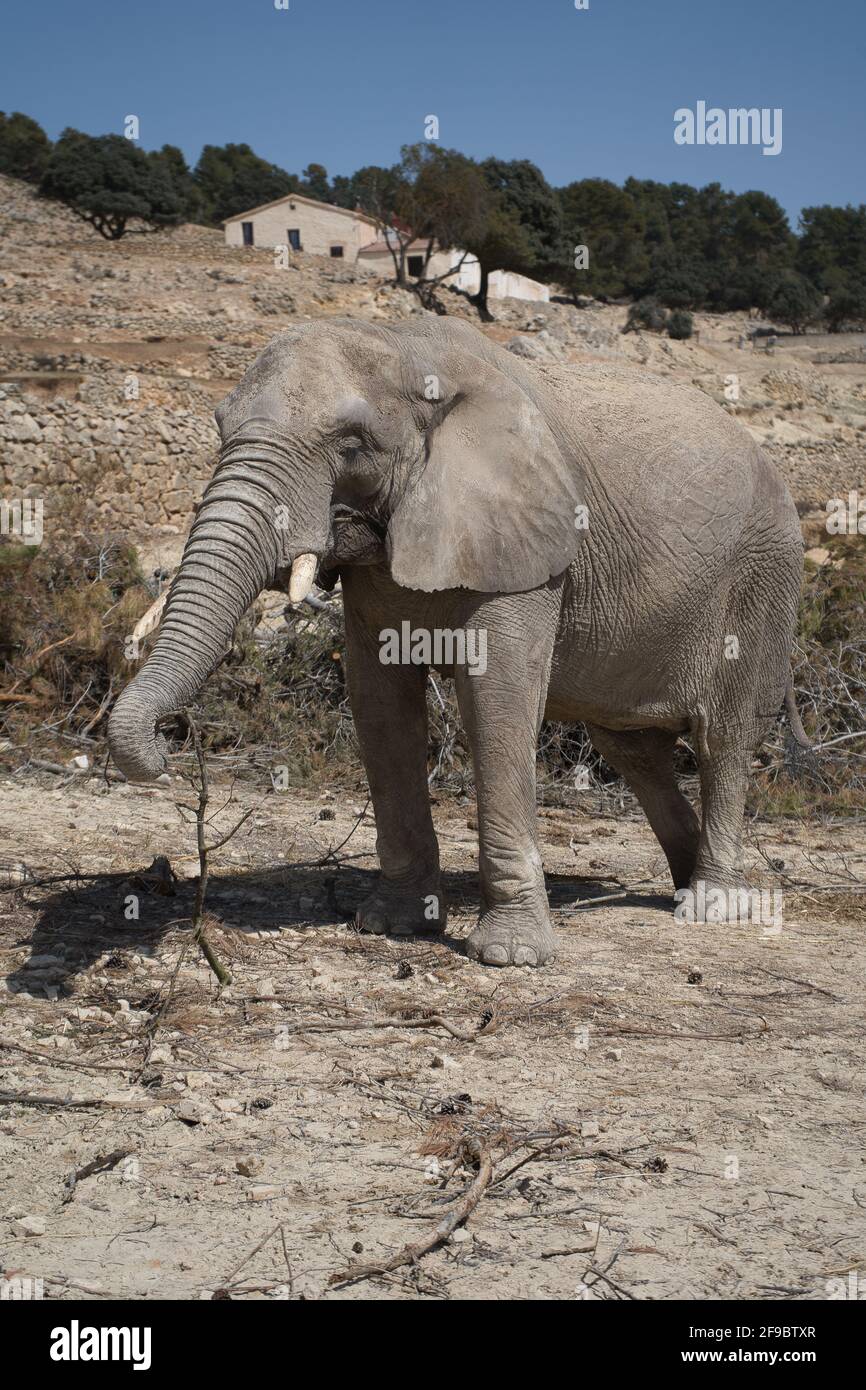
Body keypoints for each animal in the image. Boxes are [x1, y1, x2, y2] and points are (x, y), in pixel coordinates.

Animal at [108, 315, 806, 967]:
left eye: (351, 445)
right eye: (220, 429)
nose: (170, 754)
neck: (409, 349)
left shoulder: (528, 545)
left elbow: (498, 695)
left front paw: (511, 957)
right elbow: (380, 698)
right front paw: (393, 926)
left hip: (763, 584)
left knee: (723, 739)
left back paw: (712, 905)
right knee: (632, 750)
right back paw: (682, 882)